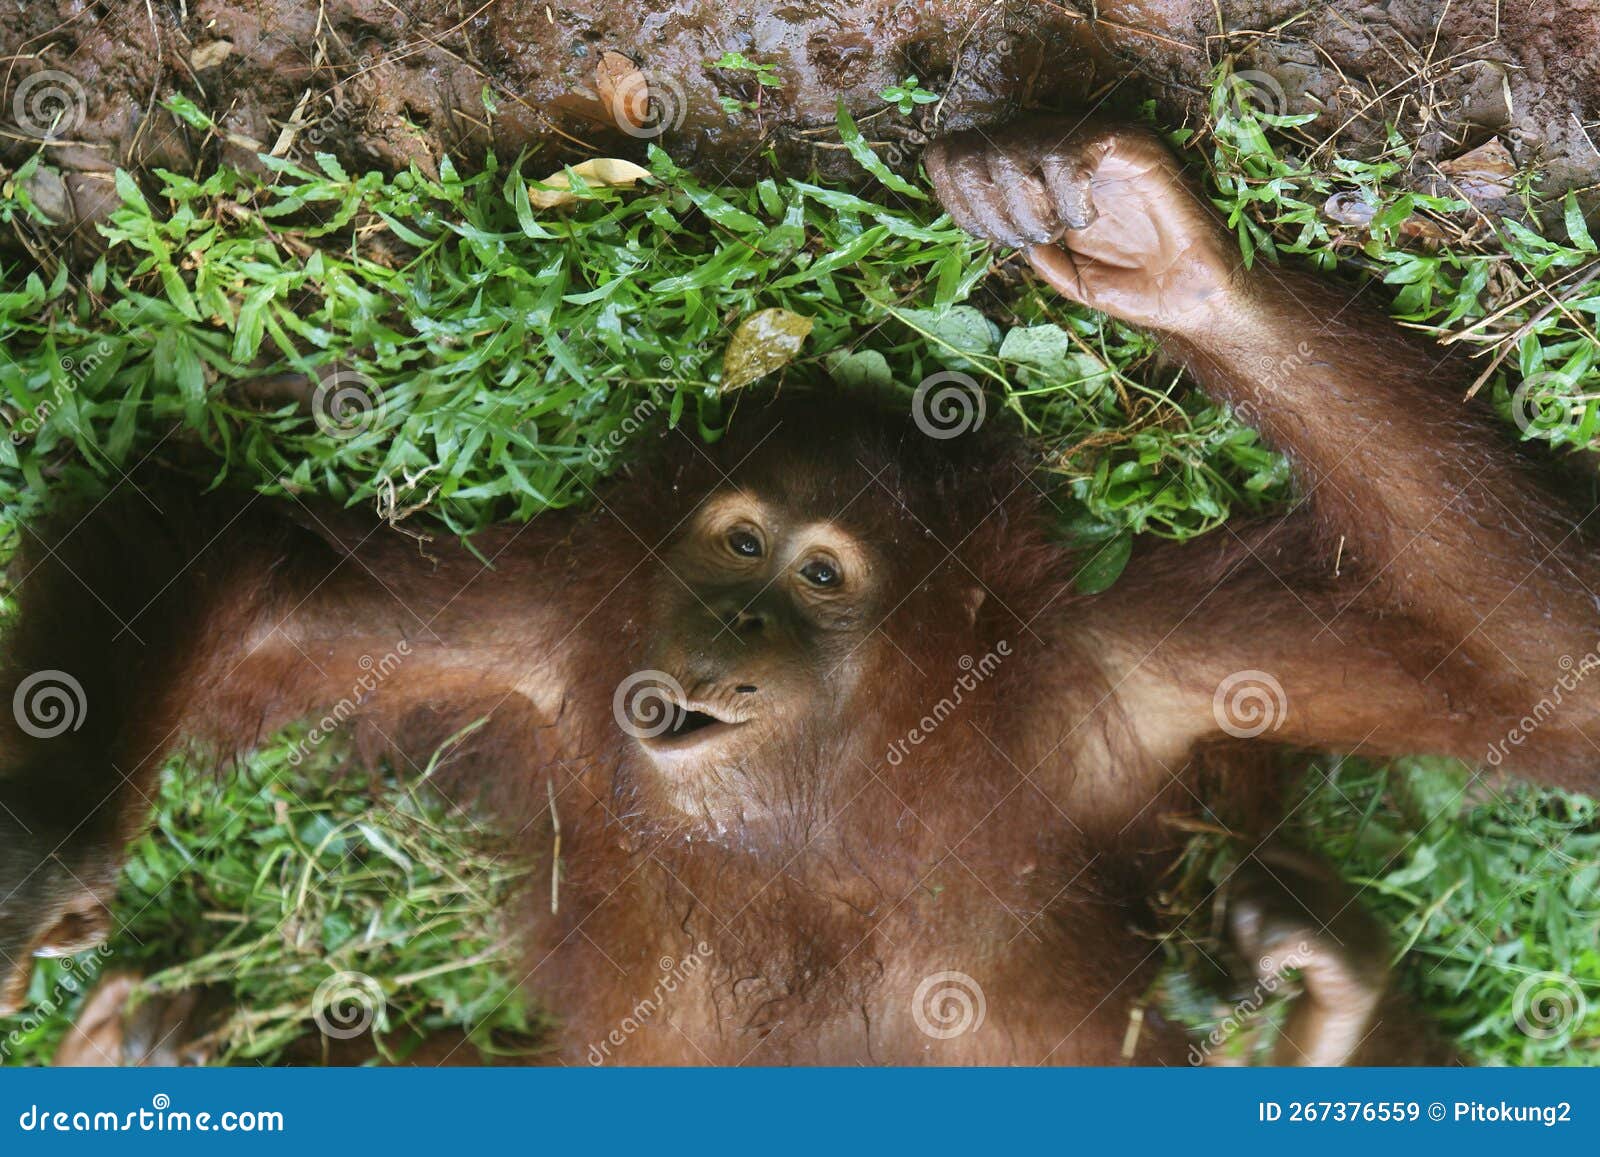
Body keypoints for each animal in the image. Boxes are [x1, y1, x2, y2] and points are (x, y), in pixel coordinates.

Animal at [4, 115, 1597, 1066]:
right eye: (737, 544)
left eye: (824, 576)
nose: (732, 625)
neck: (811, 818)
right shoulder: (547, 645)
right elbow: (253, 583)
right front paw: (43, 862)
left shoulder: (1127, 682)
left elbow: (1555, 694)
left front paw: (1170, 266)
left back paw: (1332, 1013)